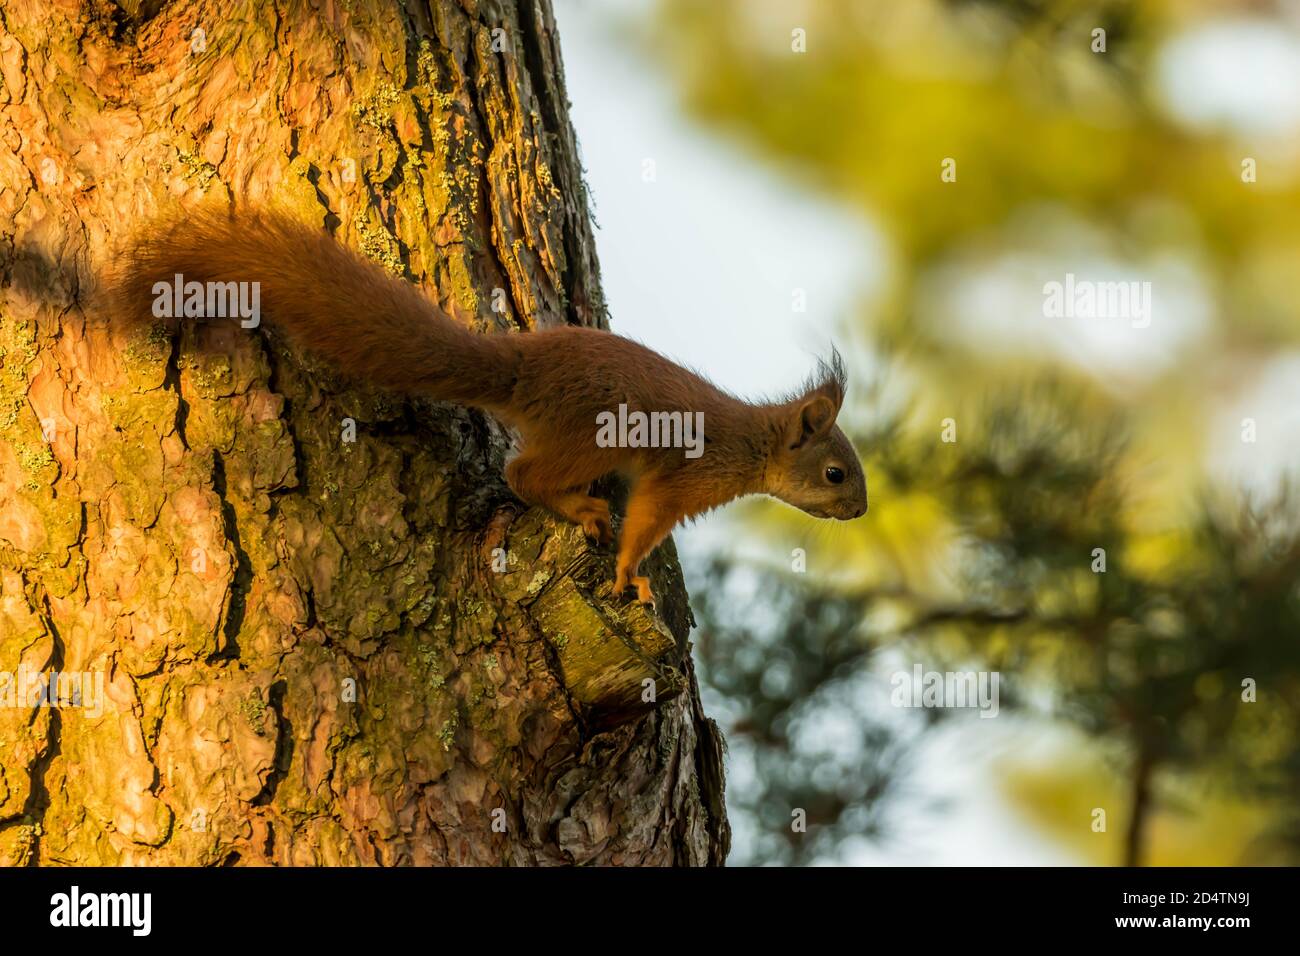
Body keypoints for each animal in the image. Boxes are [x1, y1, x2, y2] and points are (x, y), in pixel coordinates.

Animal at [113, 208, 868, 607]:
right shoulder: (683, 476)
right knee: (522, 476)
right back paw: (580, 508)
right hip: (588, 435)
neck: (753, 444)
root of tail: (522, 369)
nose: (860, 513)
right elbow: (645, 523)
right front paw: (632, 577)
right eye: (835, 474)